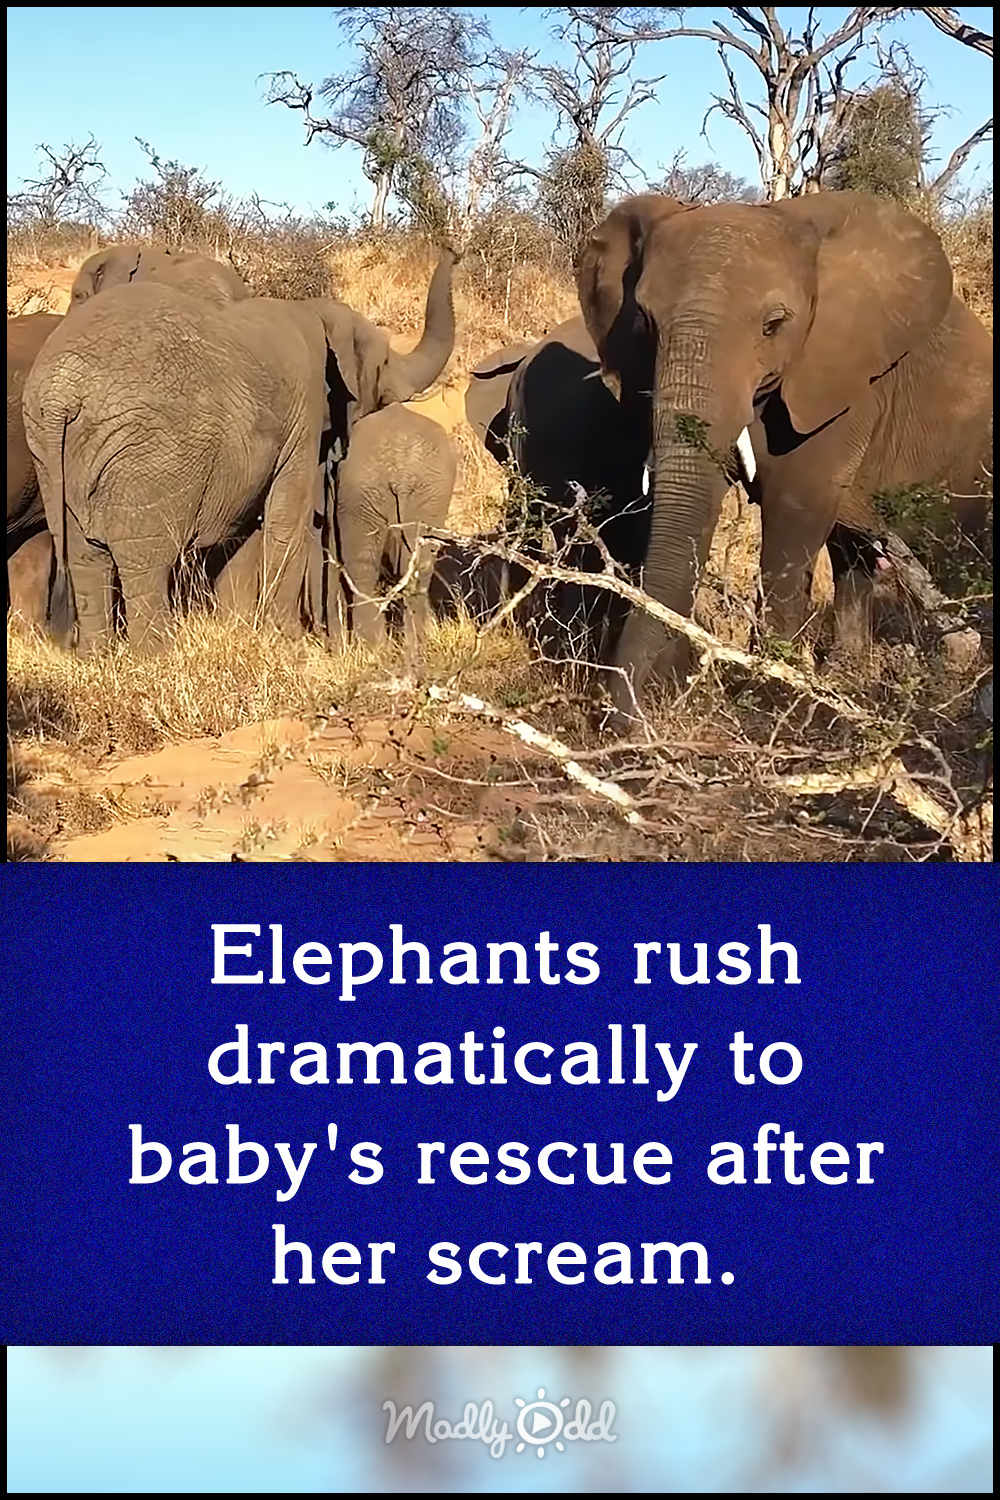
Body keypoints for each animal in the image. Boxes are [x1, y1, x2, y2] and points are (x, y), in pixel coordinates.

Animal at [576, 190, 993, 719]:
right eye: (645, 322)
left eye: (773, 325)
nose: (617, 716)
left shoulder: (843, 381)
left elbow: (796, 508)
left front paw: (770, 700)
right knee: (853, 554)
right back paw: (851, 672)